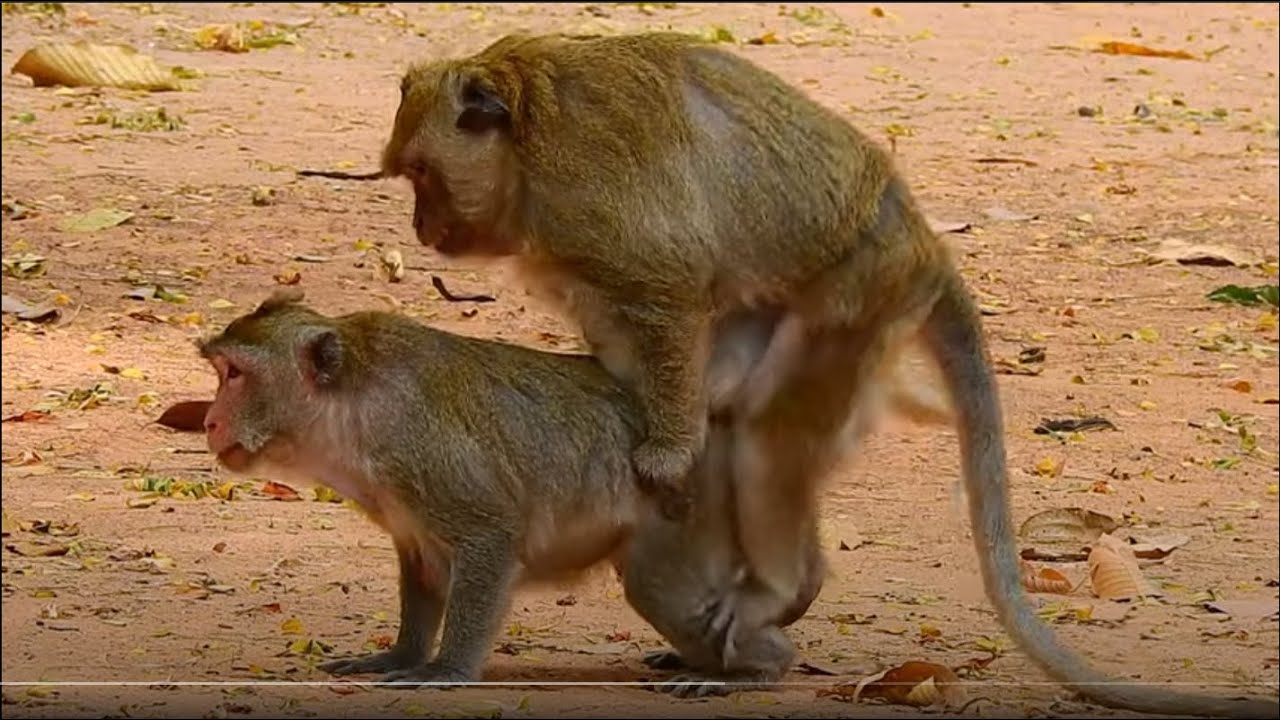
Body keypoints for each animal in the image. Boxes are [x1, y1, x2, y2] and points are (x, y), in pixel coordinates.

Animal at [374, 31, 1277, 718]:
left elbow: (667, 293)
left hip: (857, 293)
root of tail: (920, 234)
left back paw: (777, 594)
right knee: (741, 413)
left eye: (420, 175)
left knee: (768, 434)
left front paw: (664, 453)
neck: (527, 140)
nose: (420, 228)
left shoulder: (588, 198)